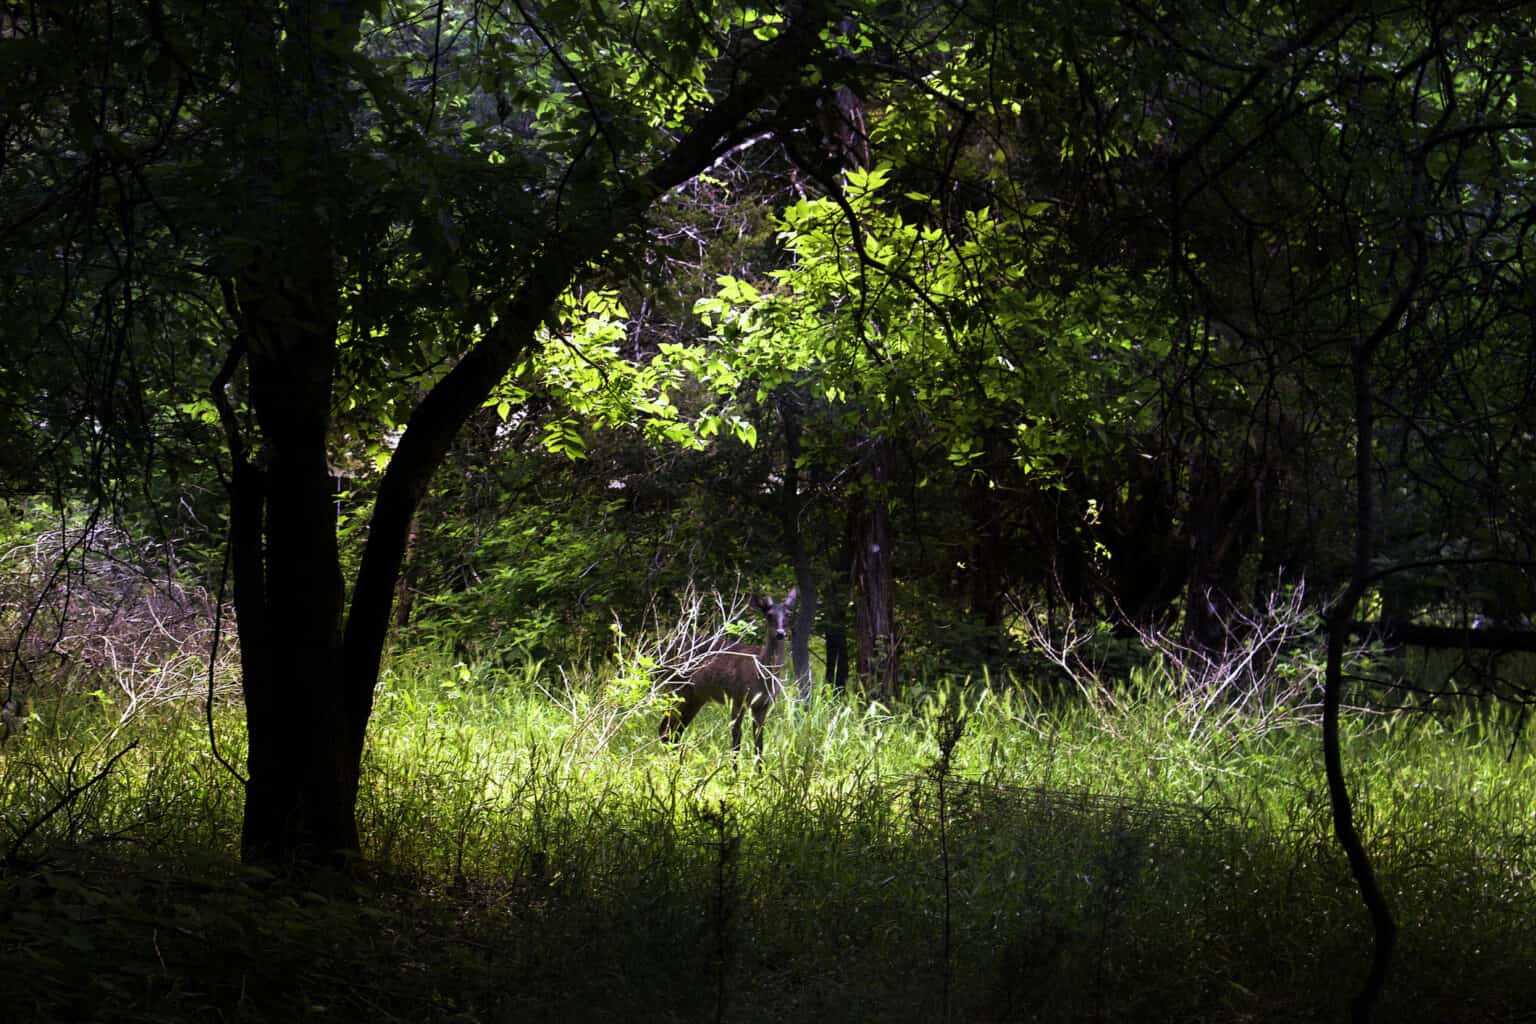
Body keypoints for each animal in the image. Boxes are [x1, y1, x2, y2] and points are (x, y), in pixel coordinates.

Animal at [658, 588, 797, 760]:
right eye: (769, 614)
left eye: (789, 614)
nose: (780, 633)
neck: (762, 674)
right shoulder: (737, 698)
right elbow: (736, 741)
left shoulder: (763, 705)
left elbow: (759, 745)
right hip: (676, 687)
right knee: (665, 730)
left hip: (696, 697)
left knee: (676, 732)